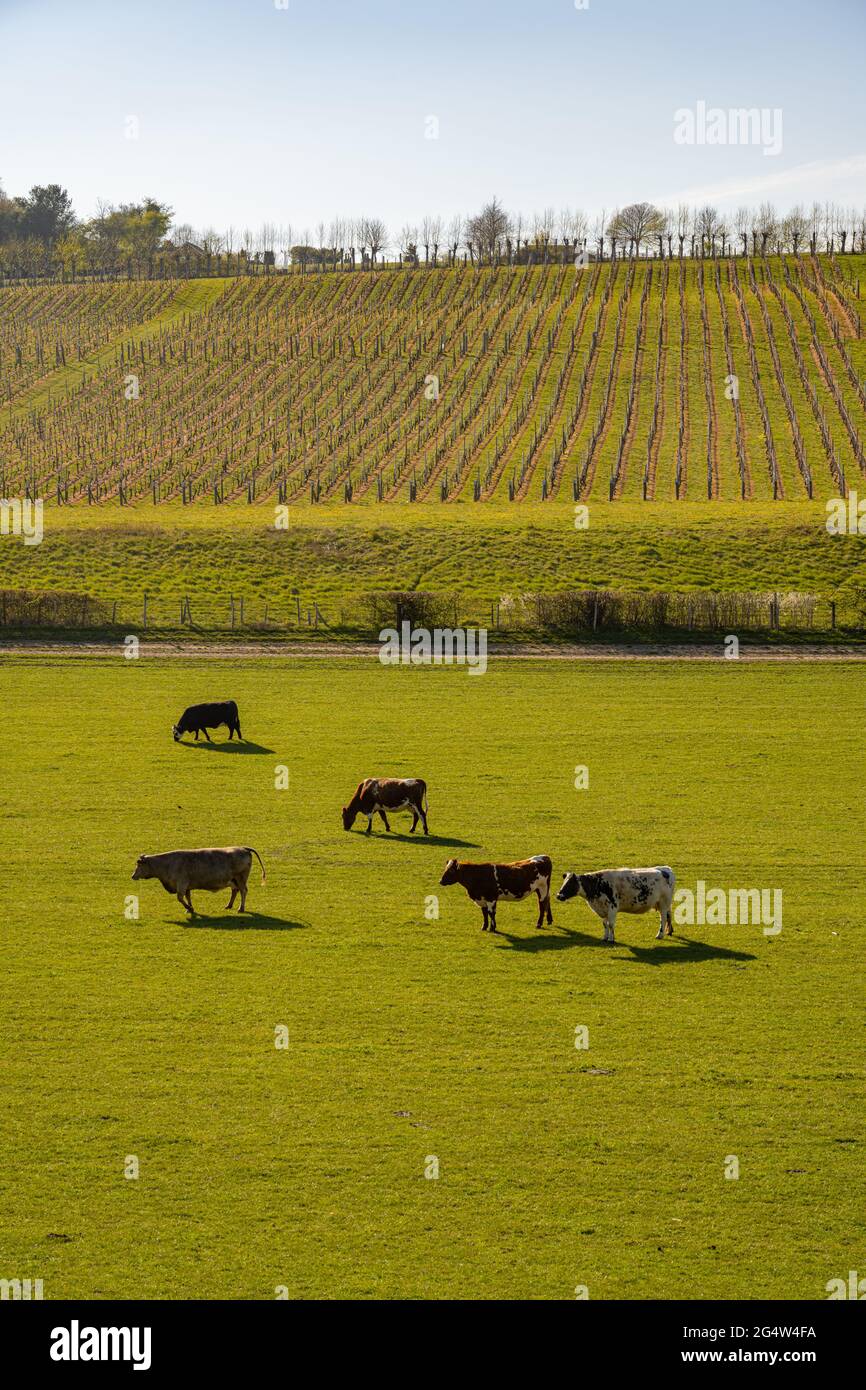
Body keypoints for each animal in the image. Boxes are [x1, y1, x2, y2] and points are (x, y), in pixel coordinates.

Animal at [131, 846, 265, 916]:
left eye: (139, 865)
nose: (133, 876)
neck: (167, 863)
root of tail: (243, 848)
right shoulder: (186, 885)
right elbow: (187, 897)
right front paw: (189, 908)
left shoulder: (181, 884)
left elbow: (180, 898)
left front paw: (190, 908)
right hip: (233, 880)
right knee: (235, 890)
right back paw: (229, 905)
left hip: (241, 878)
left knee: (243, 891)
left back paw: (241, 908)